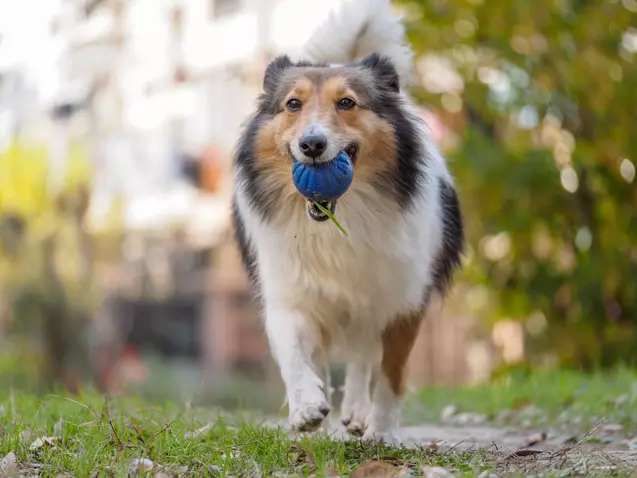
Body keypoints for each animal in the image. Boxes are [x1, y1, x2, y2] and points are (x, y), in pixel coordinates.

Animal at [229, 0, 462, 444]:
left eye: (347, 103)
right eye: (293, 104)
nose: (312, 145)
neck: (336, 222)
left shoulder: (403, 299)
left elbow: (390, 374)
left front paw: (382, 432)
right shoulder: (289, 289)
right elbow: (294, 352)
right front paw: (306, 407)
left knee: (362, 356)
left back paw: (356, 412)